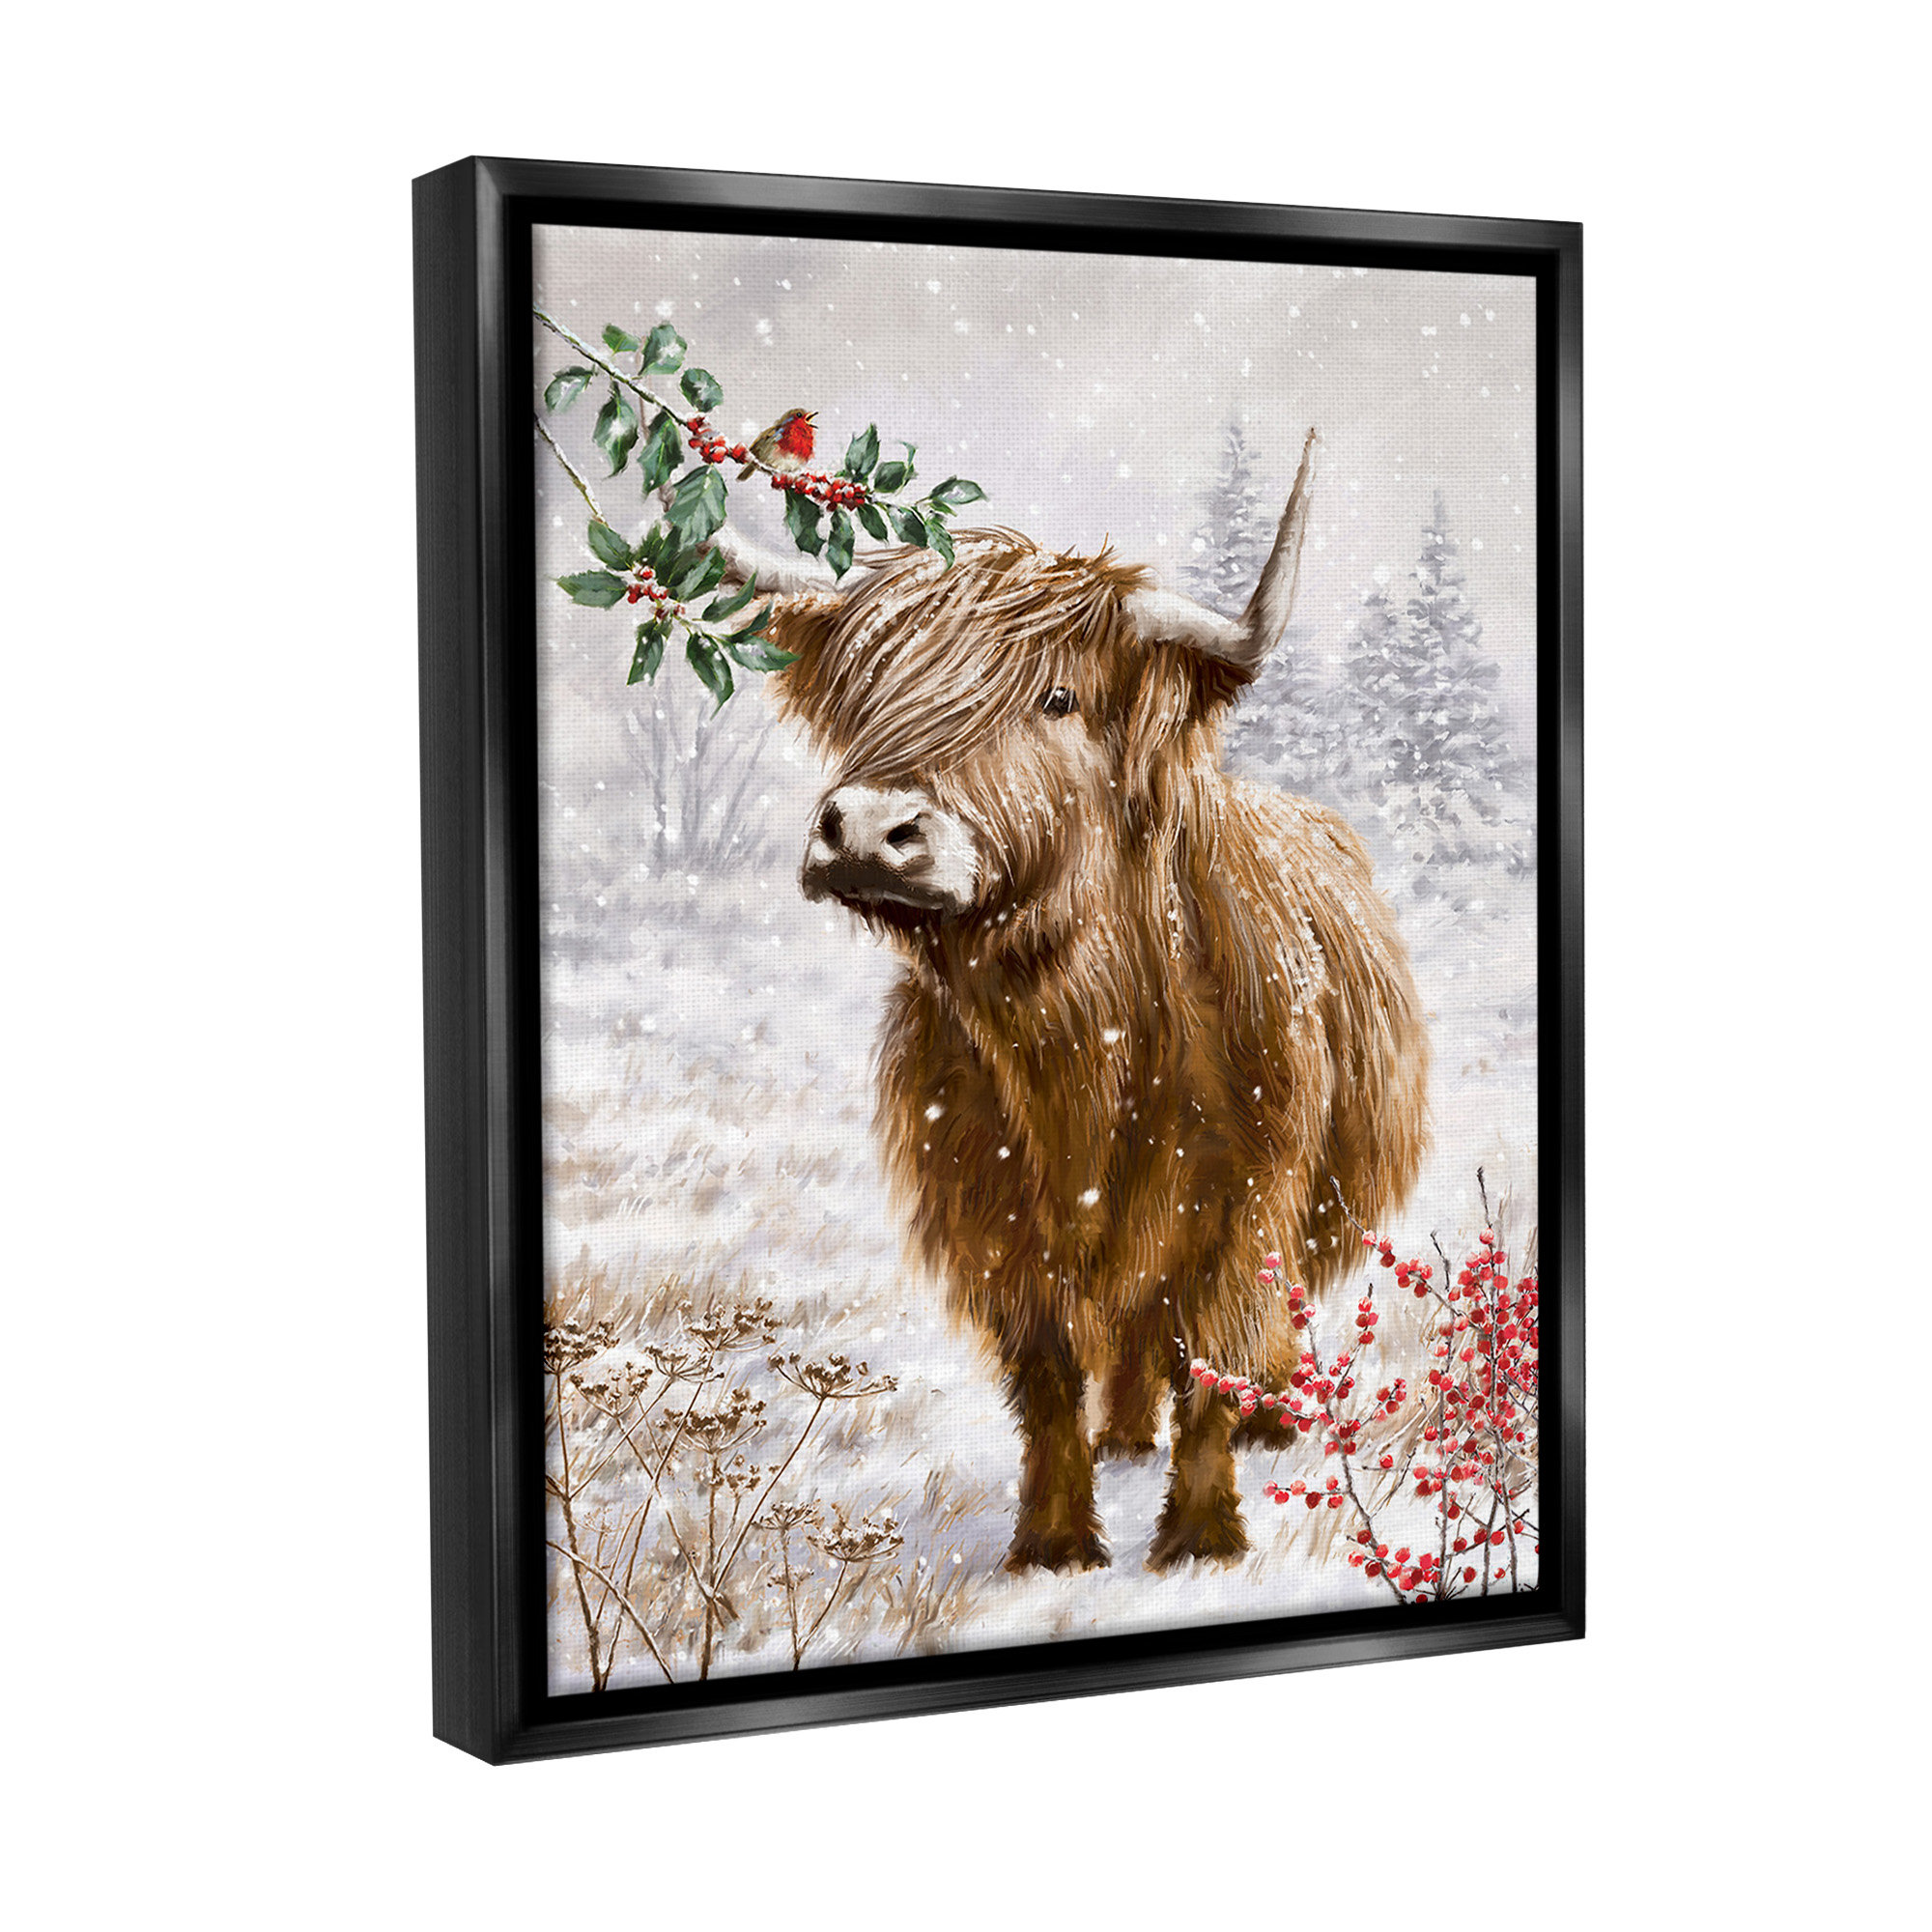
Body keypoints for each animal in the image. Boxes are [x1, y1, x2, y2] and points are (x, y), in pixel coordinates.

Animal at [707, 431, 1428, 1572]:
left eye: (1056, 698)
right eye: (867, 691)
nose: (866, 829)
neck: (1077, 1044)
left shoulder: (1249, 1198)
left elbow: (1215, 1352)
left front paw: (1201, 1537)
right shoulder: (986, 1205)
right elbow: (1045, 1370)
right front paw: (1052, 1540)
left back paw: (1266, 1420)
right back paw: (1124, 1434)